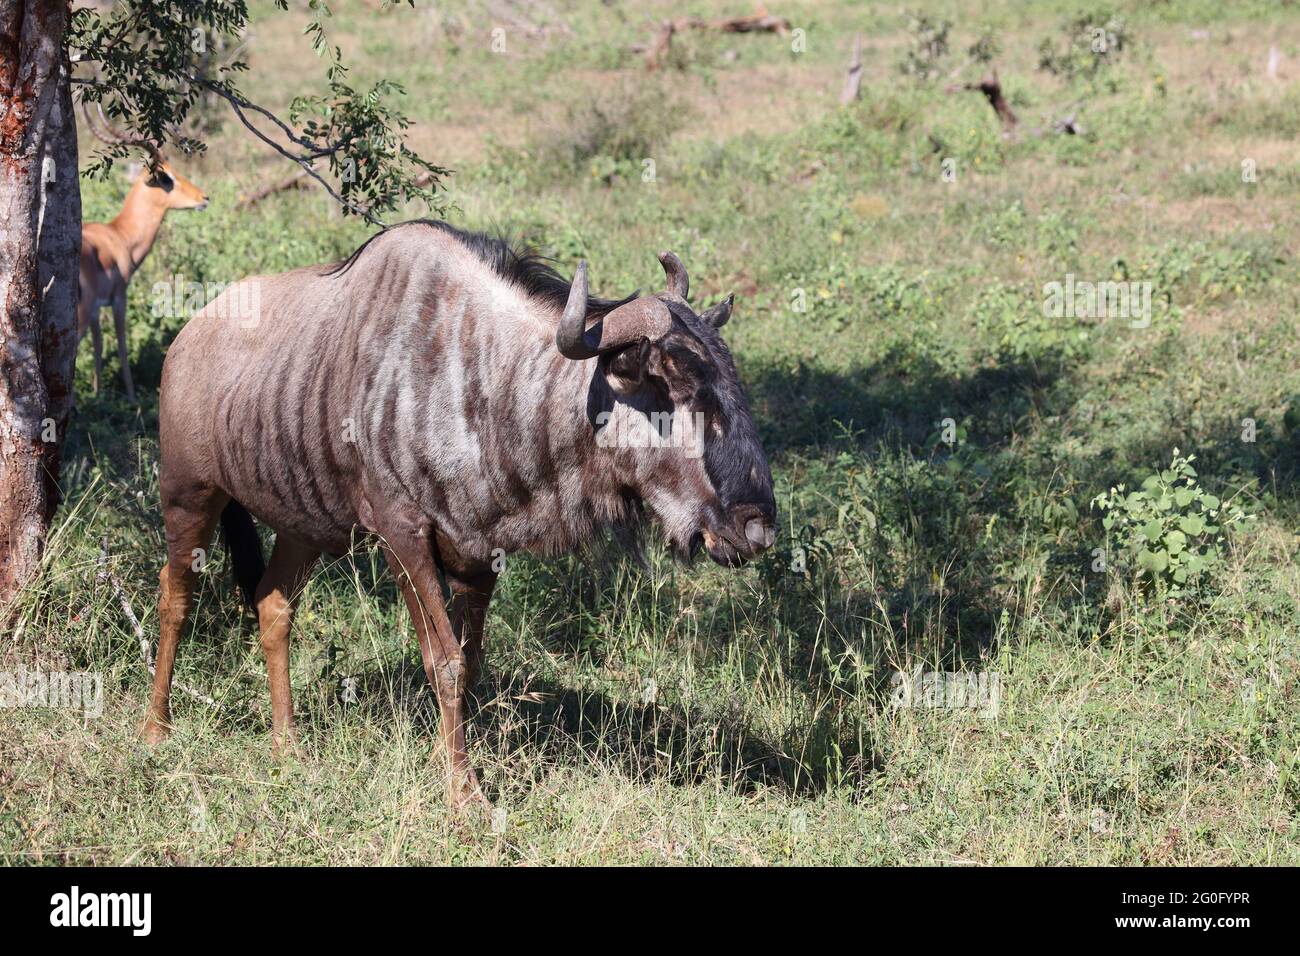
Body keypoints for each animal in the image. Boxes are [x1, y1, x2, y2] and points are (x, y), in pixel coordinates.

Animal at [79, 105, 208, 401]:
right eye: (166, 178)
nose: (204, 197)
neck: (119, 236)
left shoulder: (96, 310)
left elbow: (98, 346)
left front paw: (98, 393)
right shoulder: (118, 297)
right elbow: (121, 343)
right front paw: (130, 397)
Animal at [148, 220, 776, 809]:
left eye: (732, 382)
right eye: (672, 388)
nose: (757, 530)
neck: (479, 383)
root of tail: (186, 337)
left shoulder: (479, 550)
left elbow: (469, 662)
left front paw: (442, 761)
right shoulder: (401, 534)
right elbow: (444, 661)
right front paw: (463, 792)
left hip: (304, 528)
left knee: (273, 605)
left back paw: (288, 746)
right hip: (189, 497)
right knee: (174, 596)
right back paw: (155, 729)